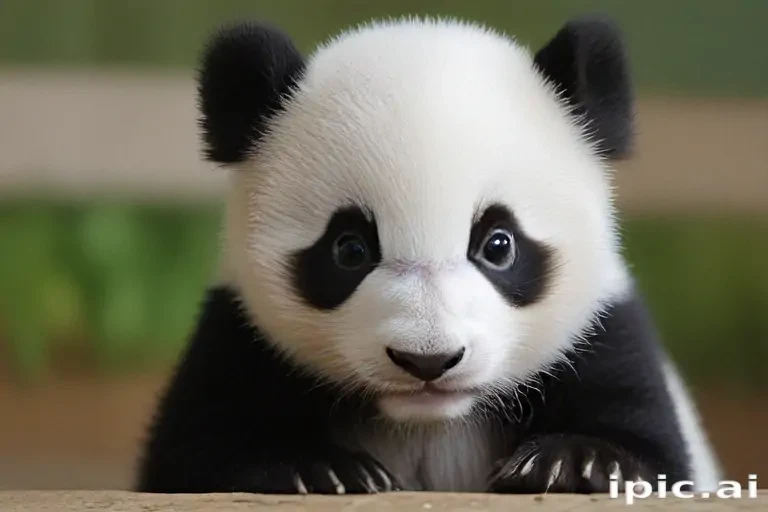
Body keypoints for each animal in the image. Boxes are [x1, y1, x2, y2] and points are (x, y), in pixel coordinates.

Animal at [135, 15, 722, 495]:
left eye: (498, 245)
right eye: (349, 249)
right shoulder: (241, 333)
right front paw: (319, 470)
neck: (429, 419)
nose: (428, 360)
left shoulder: (601, 329)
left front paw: (575, 462)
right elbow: (195, 450)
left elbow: (650, 446)